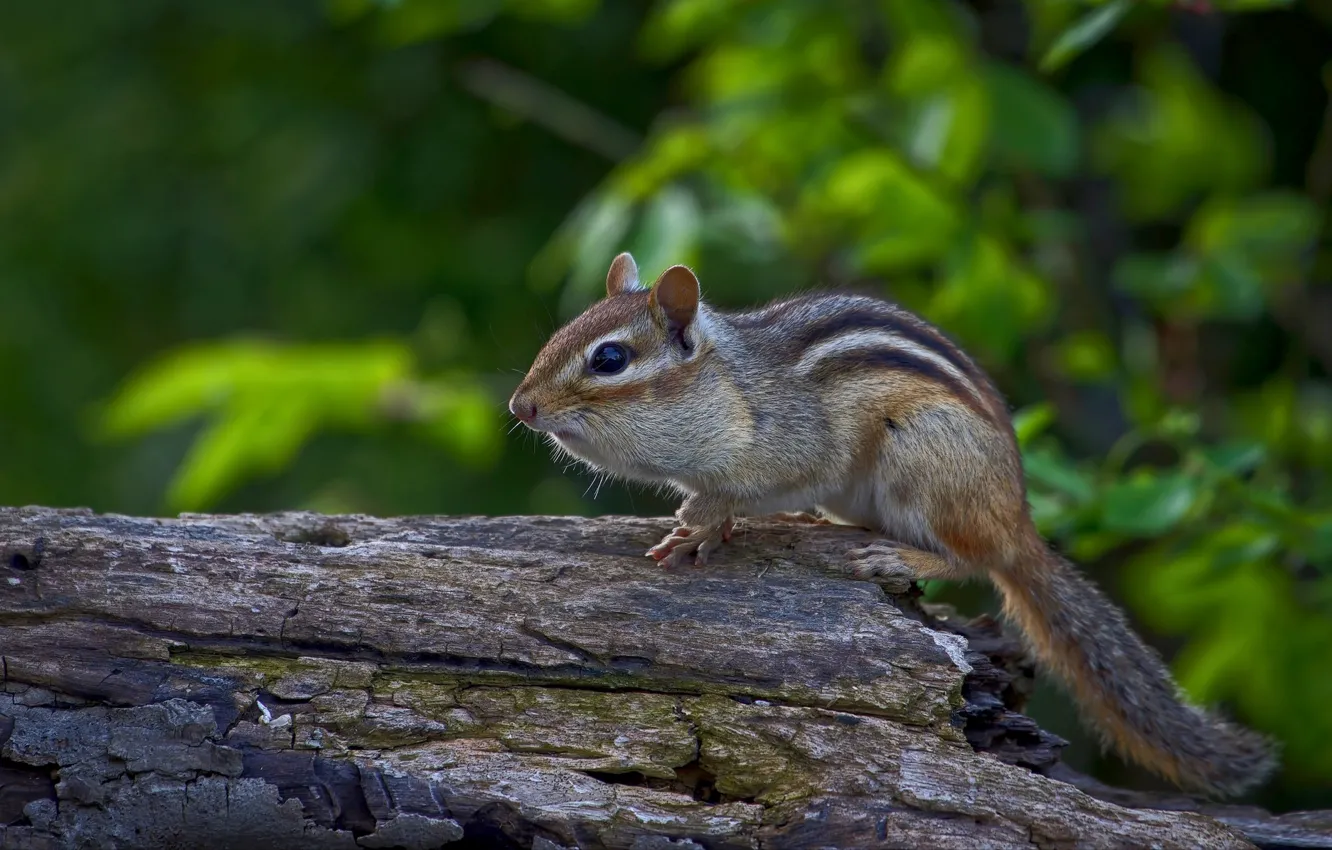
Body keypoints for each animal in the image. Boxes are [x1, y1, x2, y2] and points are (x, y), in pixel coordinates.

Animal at [509, 252, 1278, 798]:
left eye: (610, 359)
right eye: (557, 336)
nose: (521, 407)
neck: (729, 387)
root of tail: (1017, 519)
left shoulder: (797, 443)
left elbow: (740, 490)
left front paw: (703, 522)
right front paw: (705, 522)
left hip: (923, 462)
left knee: (972, 558)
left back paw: (897, 558)